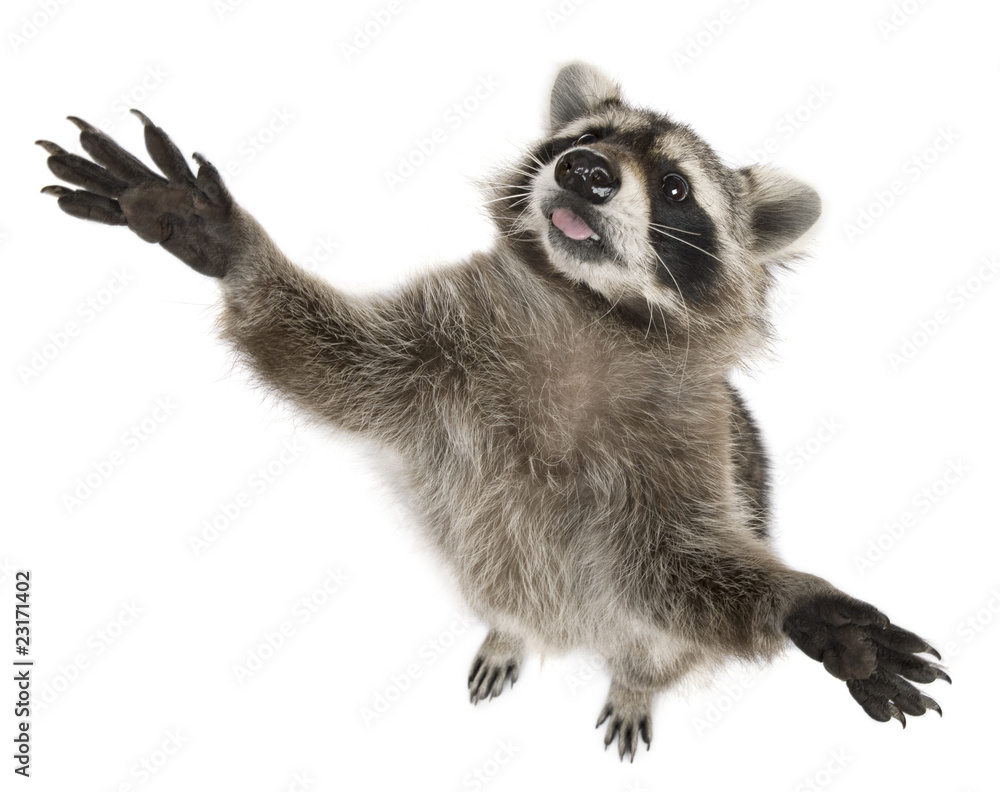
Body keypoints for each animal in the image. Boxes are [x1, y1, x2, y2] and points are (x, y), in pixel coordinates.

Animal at [38, 62, 947, 760]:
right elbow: (331, 360)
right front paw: (225, 242)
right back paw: (509, 630)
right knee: (502, 594)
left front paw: (806, 607)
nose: (585, 170)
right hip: (476, 566)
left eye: (676, 187)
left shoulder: (689, 444)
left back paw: (634, 681)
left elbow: (676, 564)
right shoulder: (436, 355)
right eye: (583, 137)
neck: (586, 309)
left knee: (660, 644)